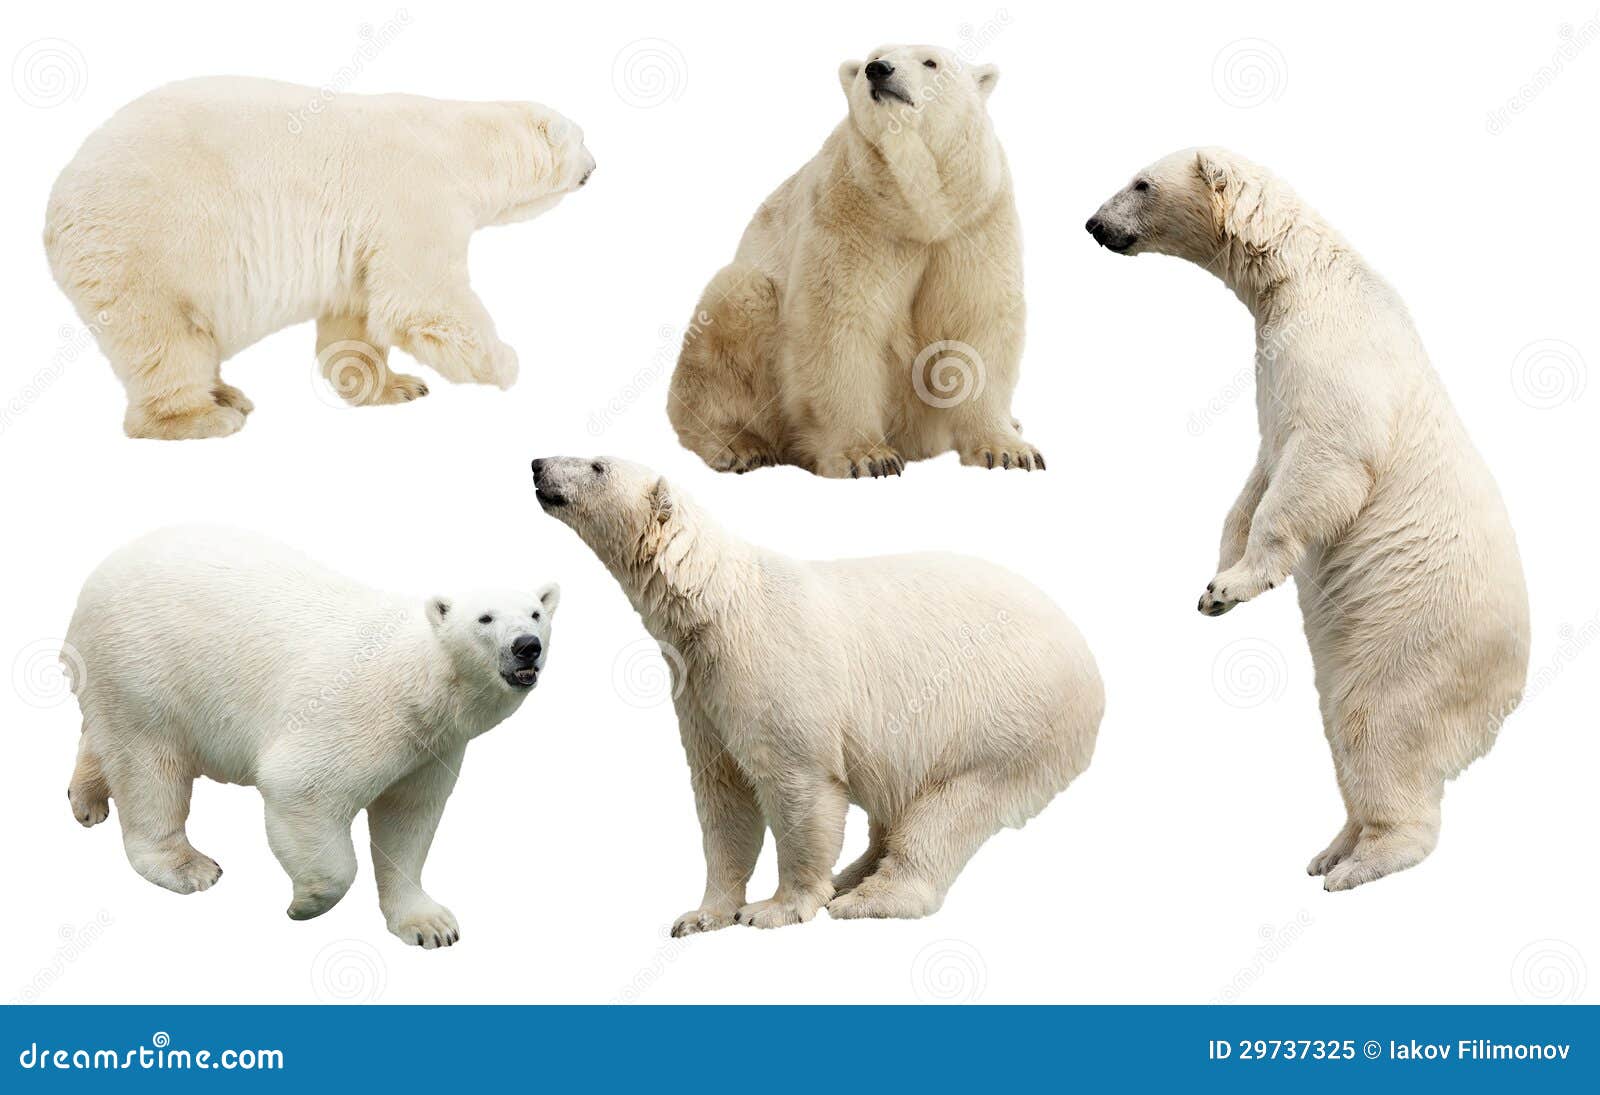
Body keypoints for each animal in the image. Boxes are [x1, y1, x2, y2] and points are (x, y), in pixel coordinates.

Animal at [43, 76, 595, 439]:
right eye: (583, 137)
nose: (596, 164)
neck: (464, 145)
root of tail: (58, 200)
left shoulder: (361, 236)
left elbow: (355, 314)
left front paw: (394, 385)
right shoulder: (416, 195)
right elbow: (422, 298)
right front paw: (506, 363)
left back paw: (225, 394)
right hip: (146, 244)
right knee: (166, 337)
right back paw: (204, 416)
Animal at [63, 525, 559, 947]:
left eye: (536, 613)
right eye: (485, 618)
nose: (526, 646)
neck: (418, 683)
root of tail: (98, 573)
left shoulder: (430, 749)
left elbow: (407, 819)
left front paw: (430, 925)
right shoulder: (354, 716)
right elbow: (304, 790)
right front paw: (305, 904)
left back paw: (86, 799)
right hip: (142, 662)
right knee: (149, 761)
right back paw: (187, 866)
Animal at [530, 456, 1102, 931]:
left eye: (598, 465)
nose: (537, 464)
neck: (718, 602)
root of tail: (1091, 667)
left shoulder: (773, 668)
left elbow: (797, 782)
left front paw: (776, 908)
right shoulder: (700, 689)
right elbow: (722, 792)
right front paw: (701, 914)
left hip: (1008, 712)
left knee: (956, 806)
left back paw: (869, 897)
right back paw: (853, 876)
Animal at [667, 44, 1039, 479]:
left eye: (931, 62)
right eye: (871, 59)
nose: (879, 70)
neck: (918, 210)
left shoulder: (973, 222)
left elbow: (977, 322)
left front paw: (1009, 450)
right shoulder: (852, 214)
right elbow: (840, 323)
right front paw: (867, 456)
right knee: (735, 309)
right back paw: (739, 445)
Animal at [1086, 147, 1531, 890]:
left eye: (1141, 183)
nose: (1093, 223)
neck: (1298, 276)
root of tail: (1512, 684)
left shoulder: (1330, 357)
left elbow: (1323, 462)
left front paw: (1229, 588)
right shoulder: (1272, 376)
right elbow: (1259, 475)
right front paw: (1216, 574)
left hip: (1415, 638)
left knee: (1378, 724)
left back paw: (1362, 862)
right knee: (1343, 727)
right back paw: (1332, 846)